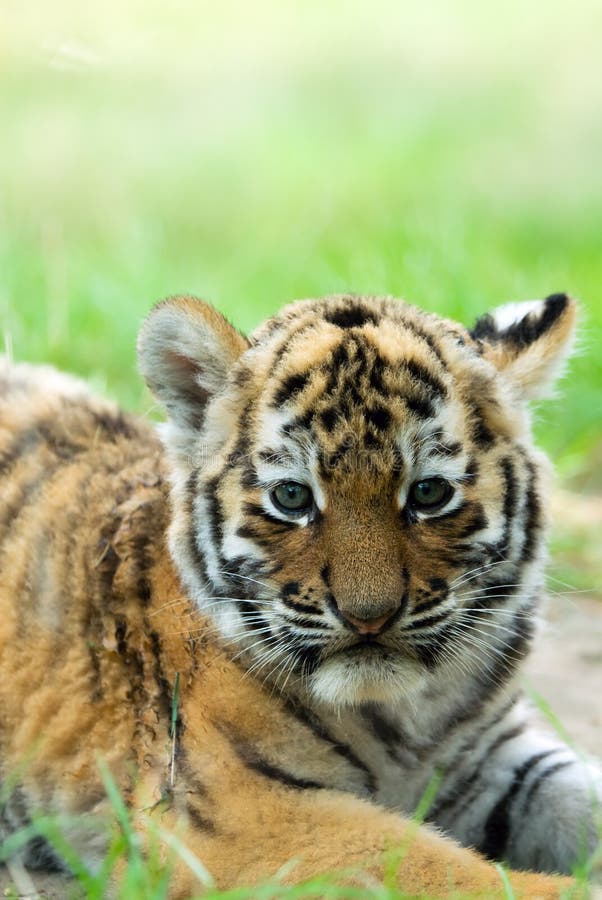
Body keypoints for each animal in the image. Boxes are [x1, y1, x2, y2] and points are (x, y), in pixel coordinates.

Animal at [0, 291, 600, 899]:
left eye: (429, 493)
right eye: (292, 497)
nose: (368, 617)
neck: (408, 720)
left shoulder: (490, 756)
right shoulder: (235, 812)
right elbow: (433, 865)